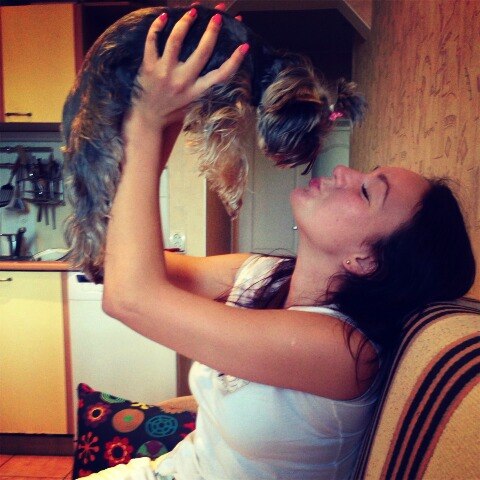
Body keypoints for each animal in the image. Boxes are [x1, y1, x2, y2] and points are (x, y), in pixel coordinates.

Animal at [62, 5, 367, 283]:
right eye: (311, 132)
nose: (306, 161)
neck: (262, 63)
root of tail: (81, 81)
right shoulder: (220, 98)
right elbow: (230, 153)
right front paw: (233, 198)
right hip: (100, 128)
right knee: (90, 212)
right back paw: (93, 264)